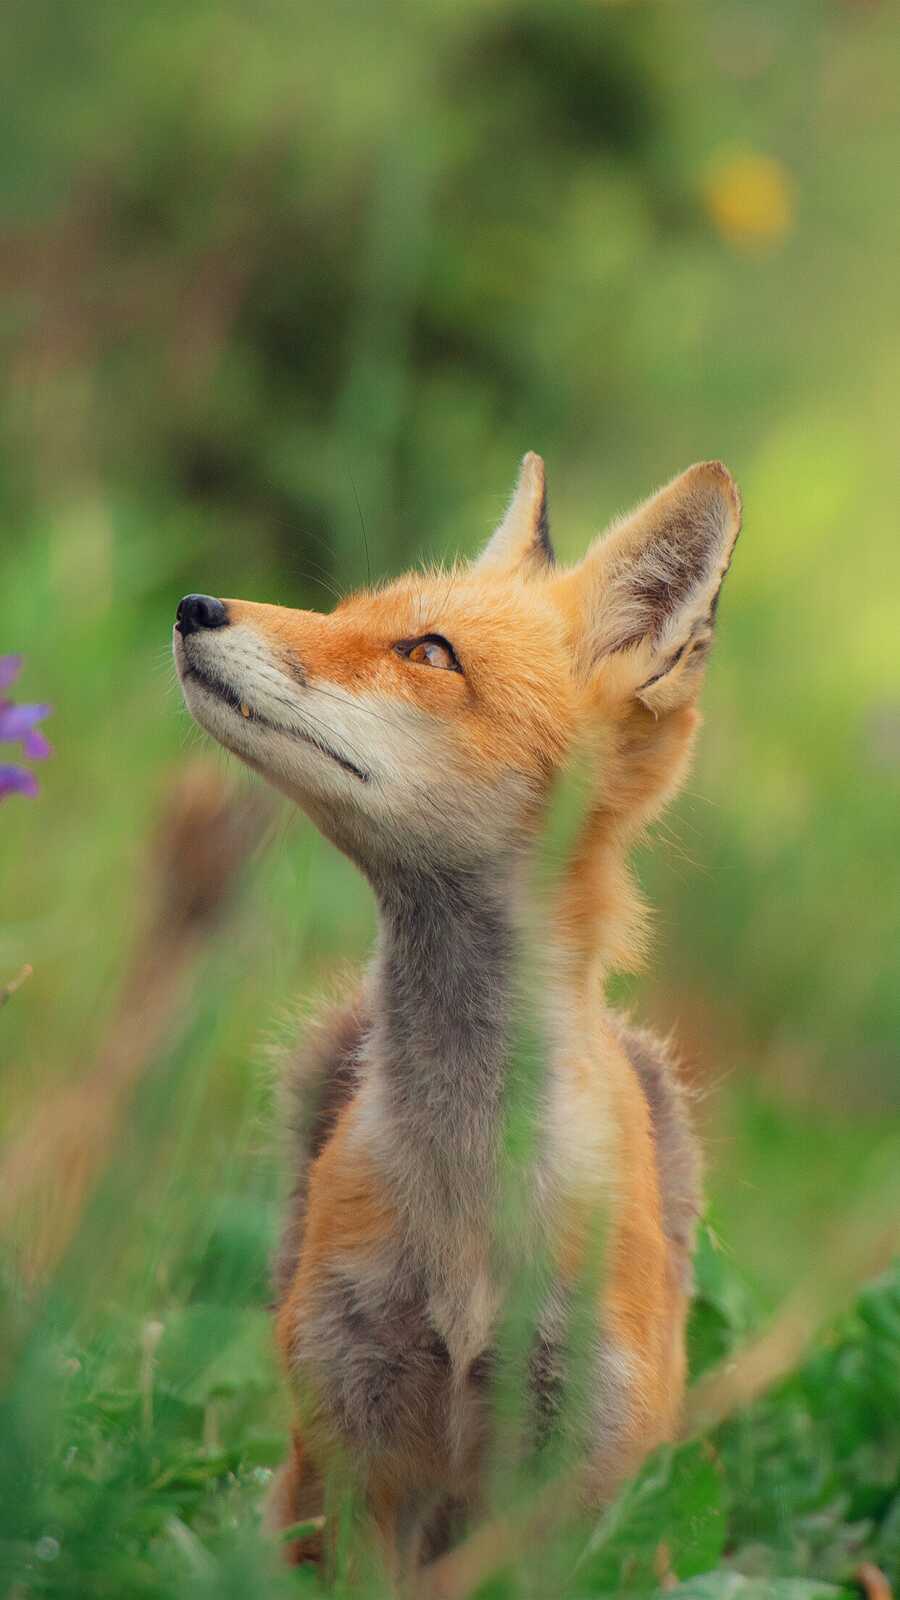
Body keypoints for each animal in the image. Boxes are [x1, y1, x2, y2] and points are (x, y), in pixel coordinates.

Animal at [173, 454, 741, 1579]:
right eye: (346, 612)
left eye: (428, 653)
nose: (194, 606)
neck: (469, 1202)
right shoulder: (355, 1451)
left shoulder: (569, 1483)